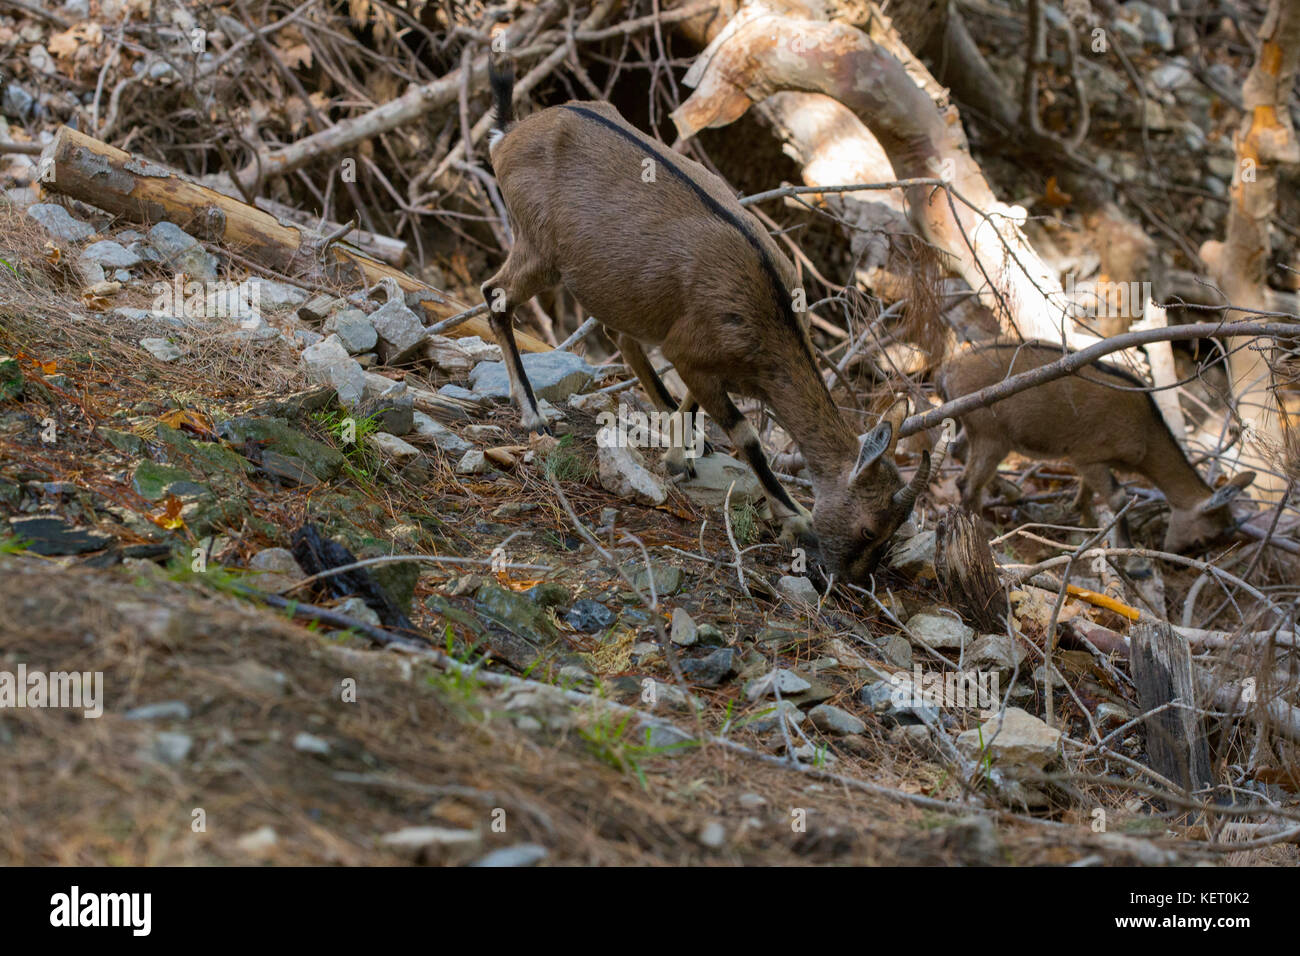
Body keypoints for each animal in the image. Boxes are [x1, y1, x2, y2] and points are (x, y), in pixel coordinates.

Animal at [480, 57, 933, 582]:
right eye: (868, 528)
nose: (850, 578)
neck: (768, 317)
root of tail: (506, 136)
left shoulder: (695, 352)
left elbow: (692, 401)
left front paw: (681, 455)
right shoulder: (693, 349)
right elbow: (746, 434)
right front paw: (796, 519)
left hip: (610, 281)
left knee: (617, 332)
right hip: (538, 246)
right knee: (496, 297)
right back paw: (534, 417)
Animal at [937, 341, 1255, 553]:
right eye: (1204, 539)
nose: (1173, 558)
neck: (1146, 434)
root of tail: (948, 372)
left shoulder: (1088, 458)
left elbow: (1088, 490)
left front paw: (1083, 520)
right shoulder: (1089, 454)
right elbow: (1116, 496)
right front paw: (1130, 556)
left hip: (978, 428)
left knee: (958, 451)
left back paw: (1012, 492)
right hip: (991, 433)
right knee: (967, 482)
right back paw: (985, 532)